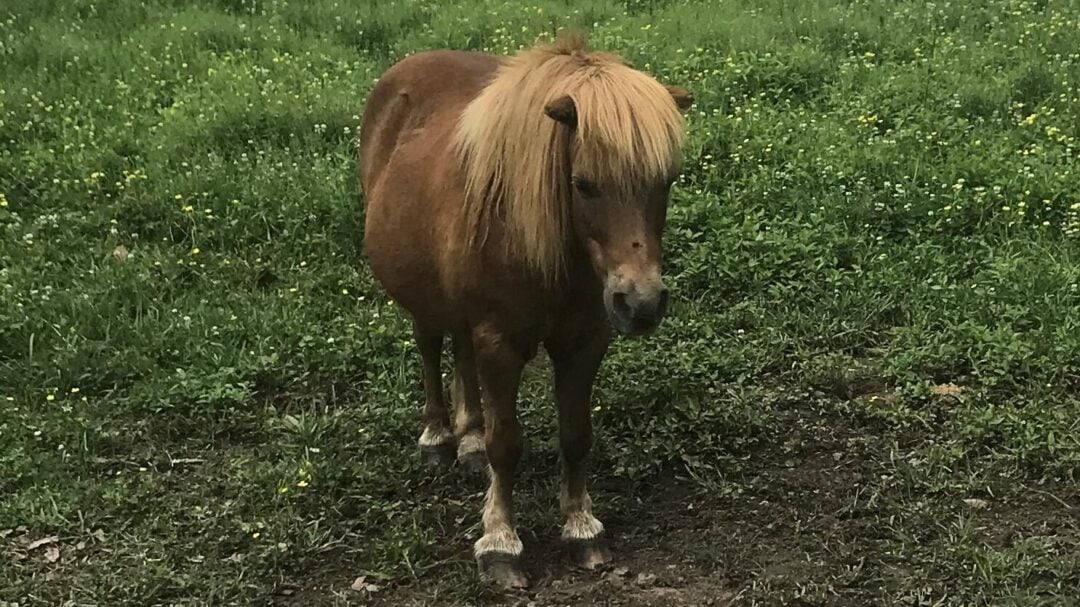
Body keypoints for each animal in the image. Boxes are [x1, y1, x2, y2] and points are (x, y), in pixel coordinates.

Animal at [358, 32, 692, 588]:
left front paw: (582, 528)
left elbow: (576, 435)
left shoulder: (585, 340)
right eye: (583, 183)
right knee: (430, 345)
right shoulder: (501, 341)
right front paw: (500, 542)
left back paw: (468, 439)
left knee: (460, 353)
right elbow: (506, 445)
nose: (641, 302)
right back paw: (438, 437)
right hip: (422, 295)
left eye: (665, 181)